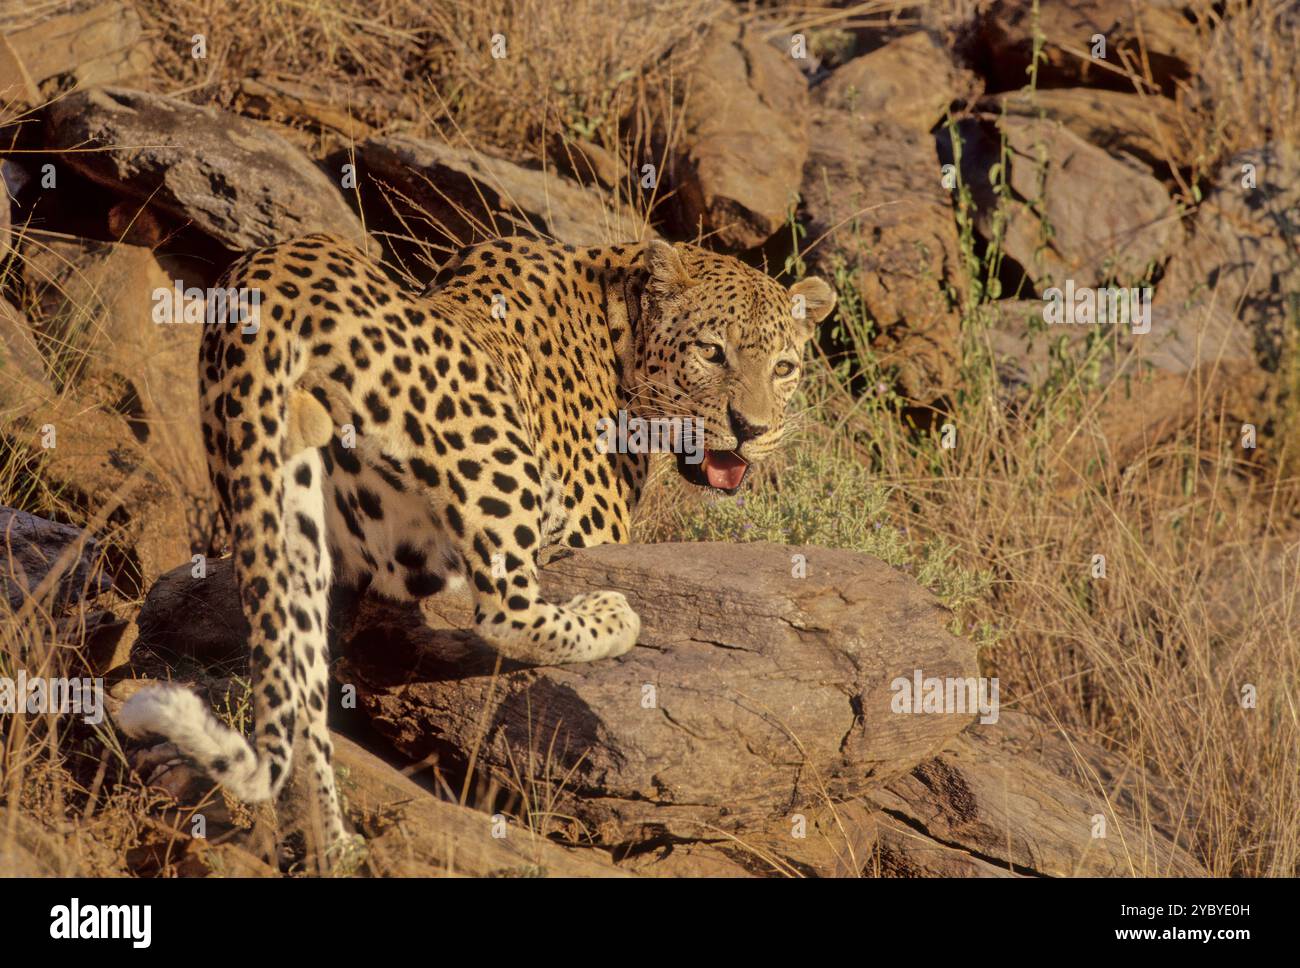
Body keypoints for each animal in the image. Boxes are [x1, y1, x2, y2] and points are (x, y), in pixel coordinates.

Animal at [120, 232, 835, 859]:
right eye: (712, 352)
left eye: (784, 367)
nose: (752, 429)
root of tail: (269, 291)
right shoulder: (591, 528)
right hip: (493, 451)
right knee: (504, 611)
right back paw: (612, 616)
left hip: (284, 513)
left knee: (296, 691)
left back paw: (335, 844)